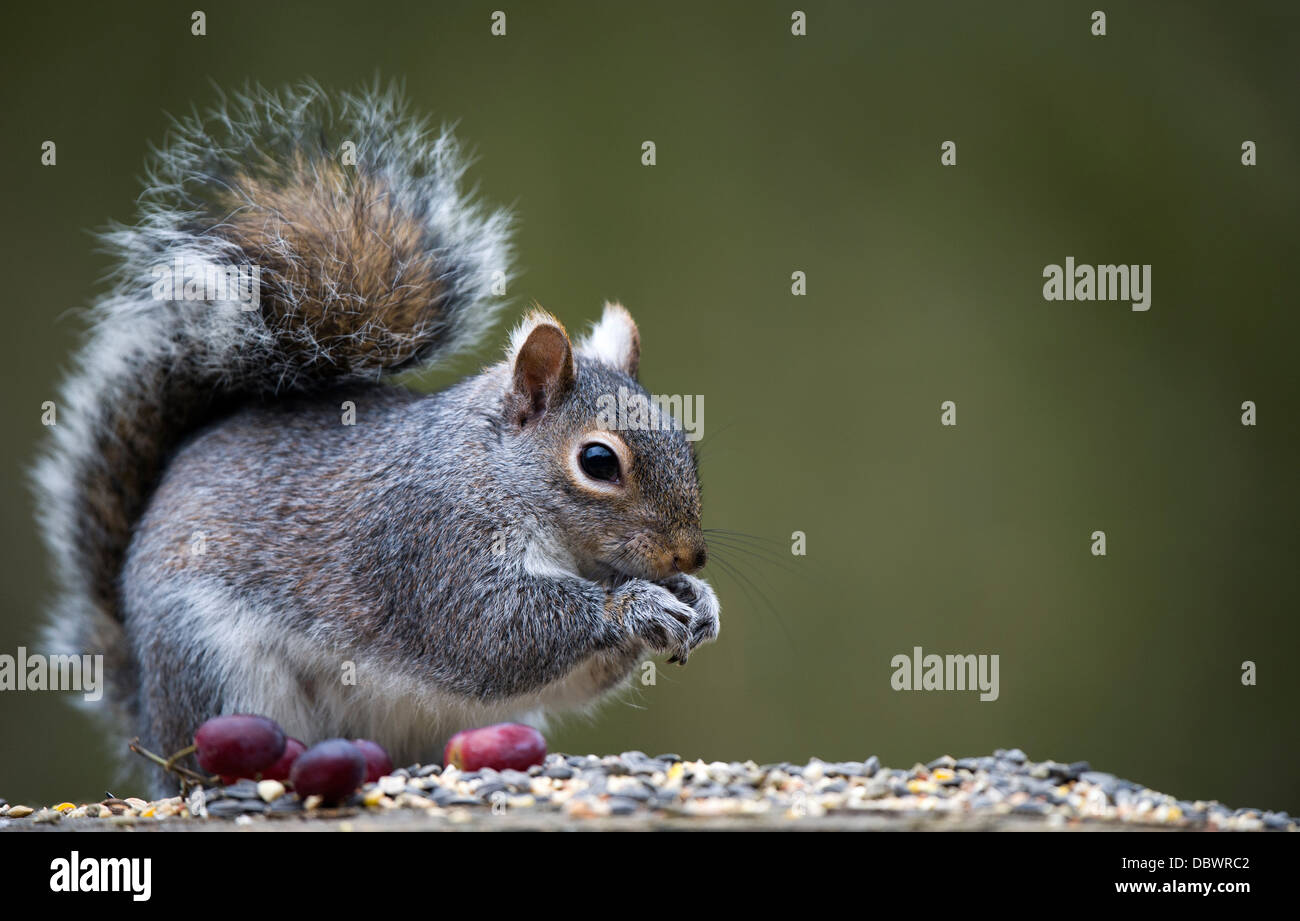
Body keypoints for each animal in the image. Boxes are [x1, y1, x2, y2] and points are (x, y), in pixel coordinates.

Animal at [34, 83, 720, 791]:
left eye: (686, 442)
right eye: (597, 461)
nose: (689, 557)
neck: (496, 474)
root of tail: (146, 711)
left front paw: (698, 601)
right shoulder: (429, 545)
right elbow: (493, 634)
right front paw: (636, 604)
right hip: (211, 666)